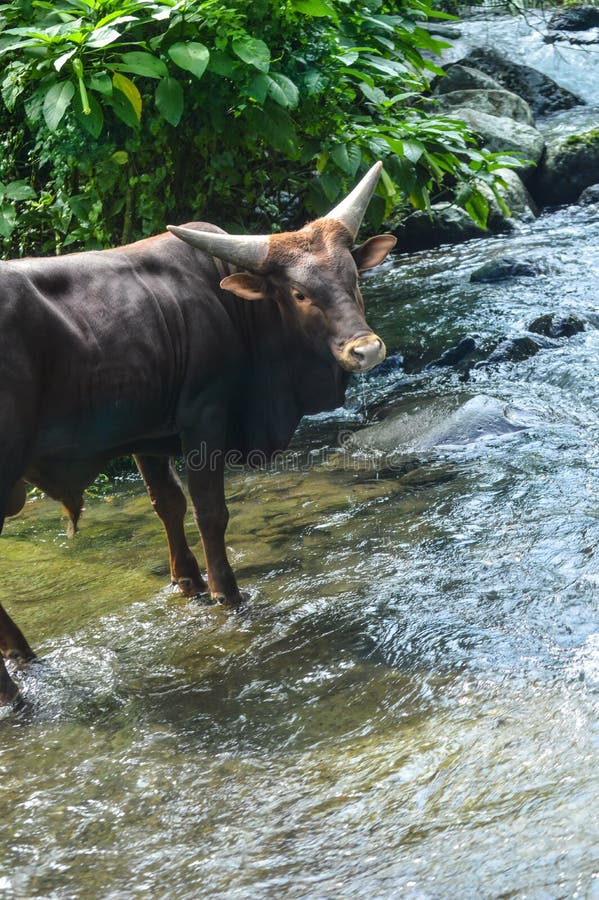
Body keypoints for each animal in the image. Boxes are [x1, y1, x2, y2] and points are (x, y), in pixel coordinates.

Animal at [0, 162, 396, 705]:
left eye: (354, 278)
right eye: (299, 294)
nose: (366, 349)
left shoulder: (144, 434)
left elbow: (166, 503)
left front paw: (187, 583)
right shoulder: (202, 420)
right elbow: (211, 512)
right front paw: (226, 594)